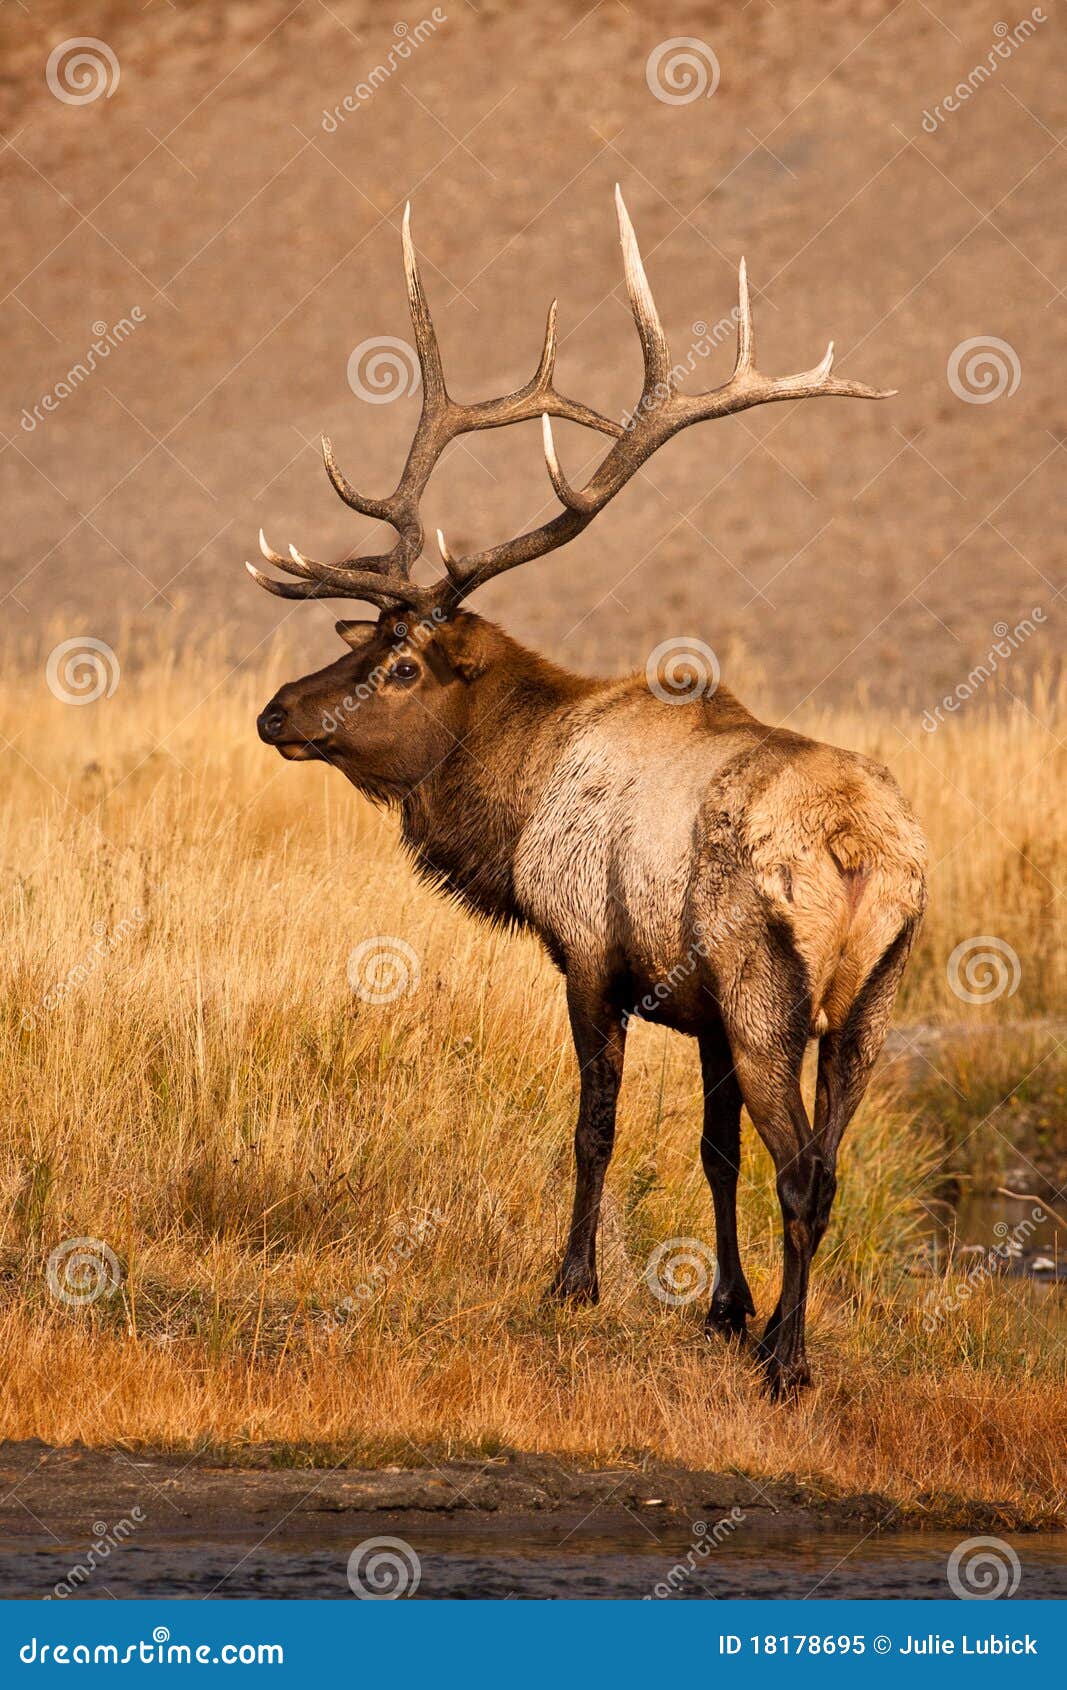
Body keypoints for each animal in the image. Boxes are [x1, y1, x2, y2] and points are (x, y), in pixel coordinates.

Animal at [249, 190, 927, 1397]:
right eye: (356, 642)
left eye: (399, 663)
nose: (277, 710)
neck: (513, 806)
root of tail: (858, 851)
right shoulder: (696, 1007)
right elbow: (710, 1151)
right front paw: (719, 1305)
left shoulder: (590, 953)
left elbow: (594, 1127)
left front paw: (572, 1282)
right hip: (871, 998)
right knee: (827, 1159)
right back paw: (773, 1333)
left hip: (767, 986)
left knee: (804, 1168)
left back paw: (788, 1358)